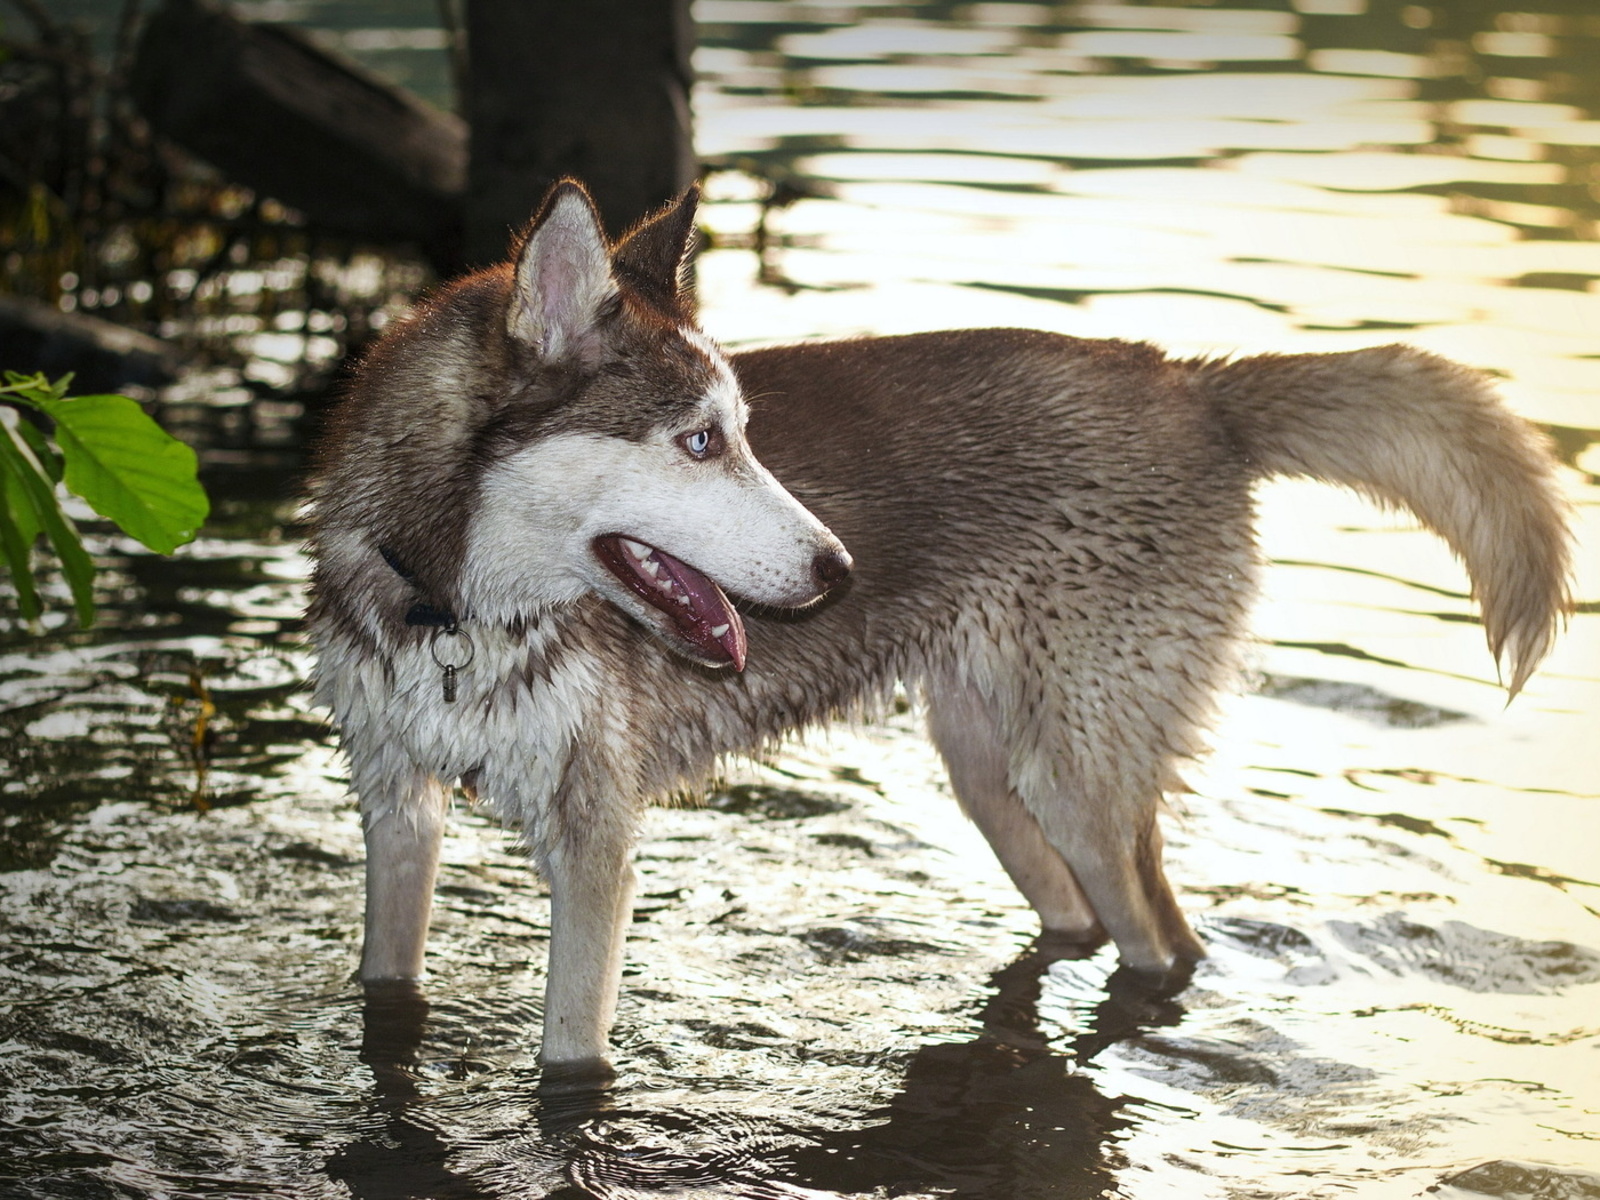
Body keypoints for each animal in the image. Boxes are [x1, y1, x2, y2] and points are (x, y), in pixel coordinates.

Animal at [307, 179, 1571, 1068]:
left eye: (743, 433)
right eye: (700, 441)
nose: (838, 568)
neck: (451, 614)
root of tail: (1188, 380)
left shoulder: (594, 843)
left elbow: (568, 1059)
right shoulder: (397, 807)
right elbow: (385, 983)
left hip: (1079, 775)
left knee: (1163, 939)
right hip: (987, 768)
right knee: (1076, 918)